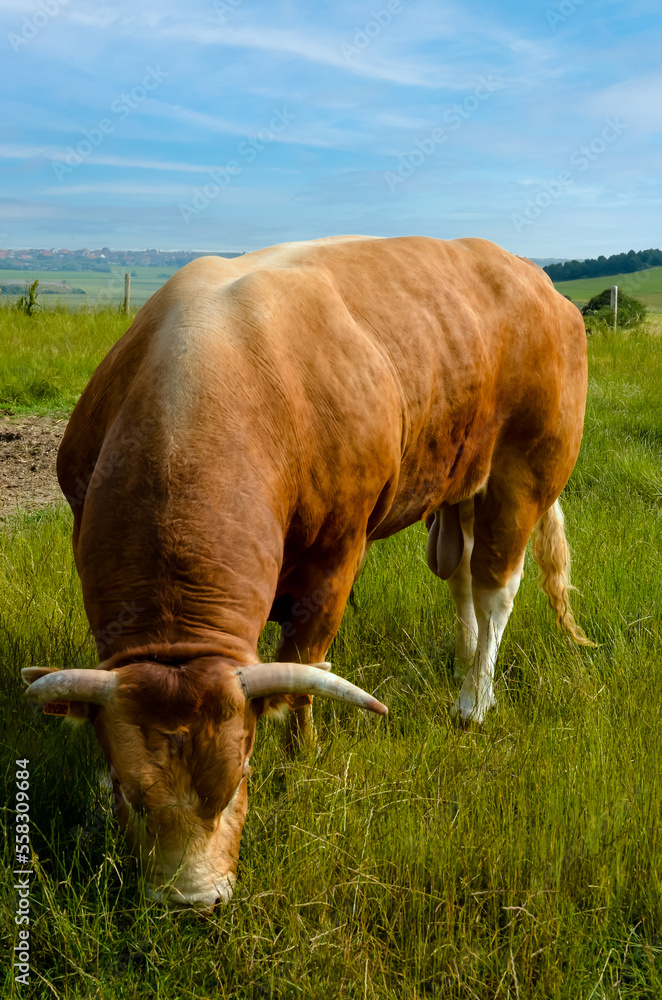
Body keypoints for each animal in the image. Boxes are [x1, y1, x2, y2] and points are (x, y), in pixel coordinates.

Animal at [23, 235, 591, 910]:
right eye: (122, 789)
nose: (192, 901)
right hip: (458, 484)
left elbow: (303, 666)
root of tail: (532, 275)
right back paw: (465, 664)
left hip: (525, 472)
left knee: (496, 587)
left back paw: (473, 701)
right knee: (462, 584)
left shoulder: (337, 554)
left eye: (242, 775)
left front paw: (303, 759)